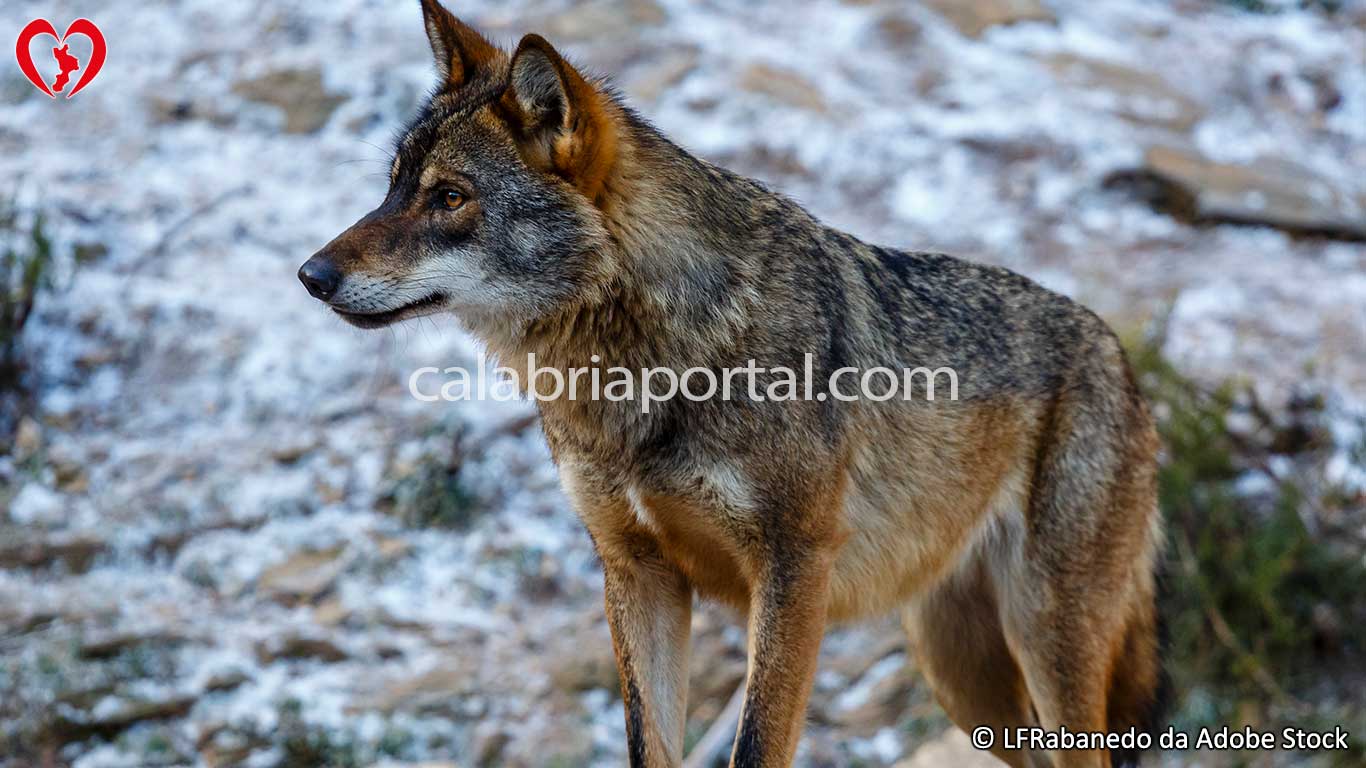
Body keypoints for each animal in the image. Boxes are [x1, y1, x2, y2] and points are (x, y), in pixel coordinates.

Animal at [298, 2, 1166, 766]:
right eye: (392, 187)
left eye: (450, 197)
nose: (310, 275)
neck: (646, 368)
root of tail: (1116, 352)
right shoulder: (636, 571)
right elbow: (648, 744)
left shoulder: (793, 569)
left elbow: (756, 745)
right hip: (962, 676)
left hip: (1044, 640)